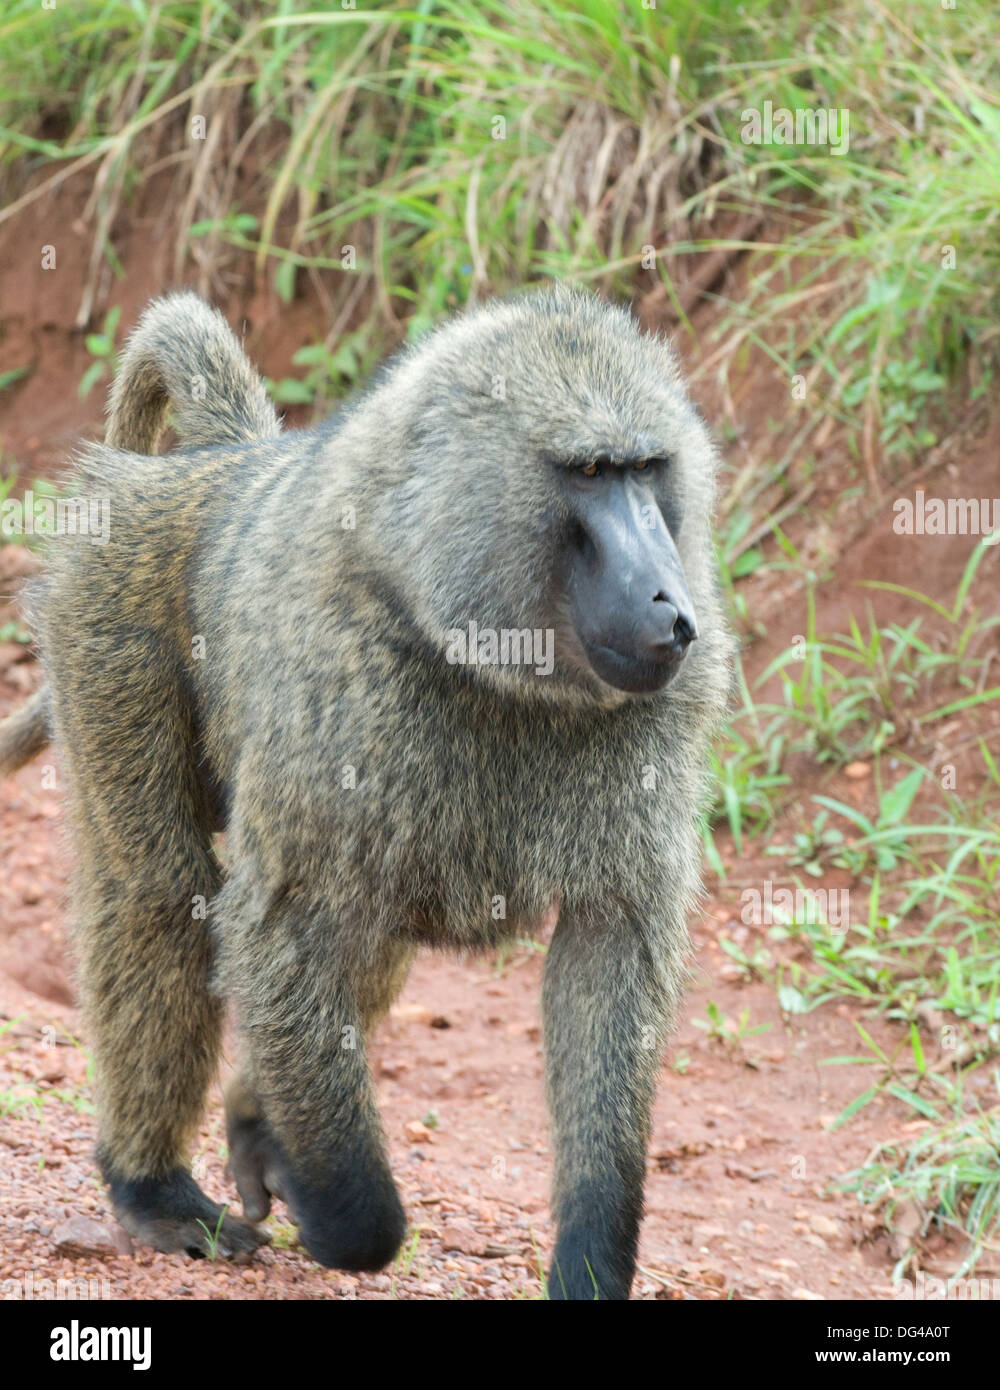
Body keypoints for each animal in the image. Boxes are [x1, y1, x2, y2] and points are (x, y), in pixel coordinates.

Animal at [0, 285, 732, 1299]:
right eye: (588, 472)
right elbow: (277, 922)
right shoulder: (340, 683)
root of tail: (213, 469)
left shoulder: (664, 711)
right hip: (107, 612)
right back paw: (153, 1190)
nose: (669, 604)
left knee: (369, 926)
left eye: (647, 470)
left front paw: (590, 1258)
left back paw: (261, 1125)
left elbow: (608, 944)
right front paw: (349, 1221)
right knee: (160, 895)